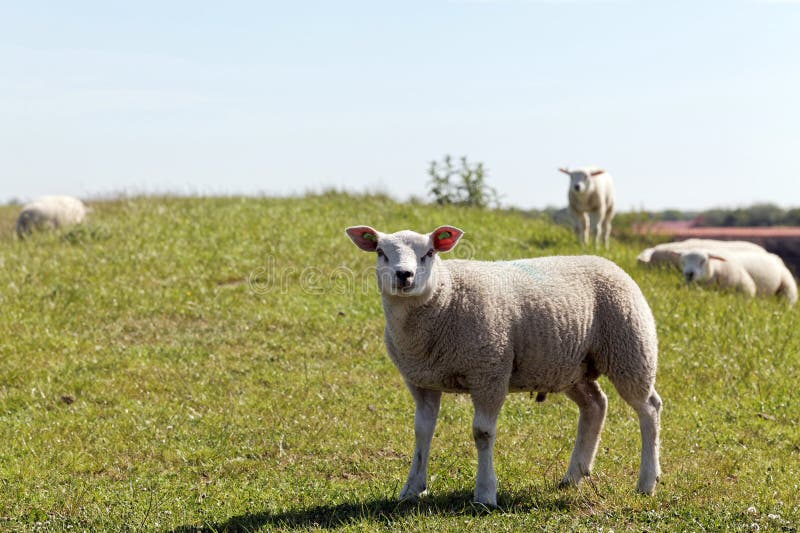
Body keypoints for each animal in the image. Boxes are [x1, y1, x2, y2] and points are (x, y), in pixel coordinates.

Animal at [345, 224, 662, 506]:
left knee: (649, 408)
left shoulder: (490, 374)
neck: (446, 296)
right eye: (380, 252)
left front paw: (485, 494)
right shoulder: (421, 381)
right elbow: (422, 431)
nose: (404, 275)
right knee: (595, 405)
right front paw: (412, 488)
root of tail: (607, 262)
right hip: (570, 367)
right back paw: (574, 476)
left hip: (630, 349)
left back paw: (646, 482)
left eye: (430, 252)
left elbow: (482, 433)